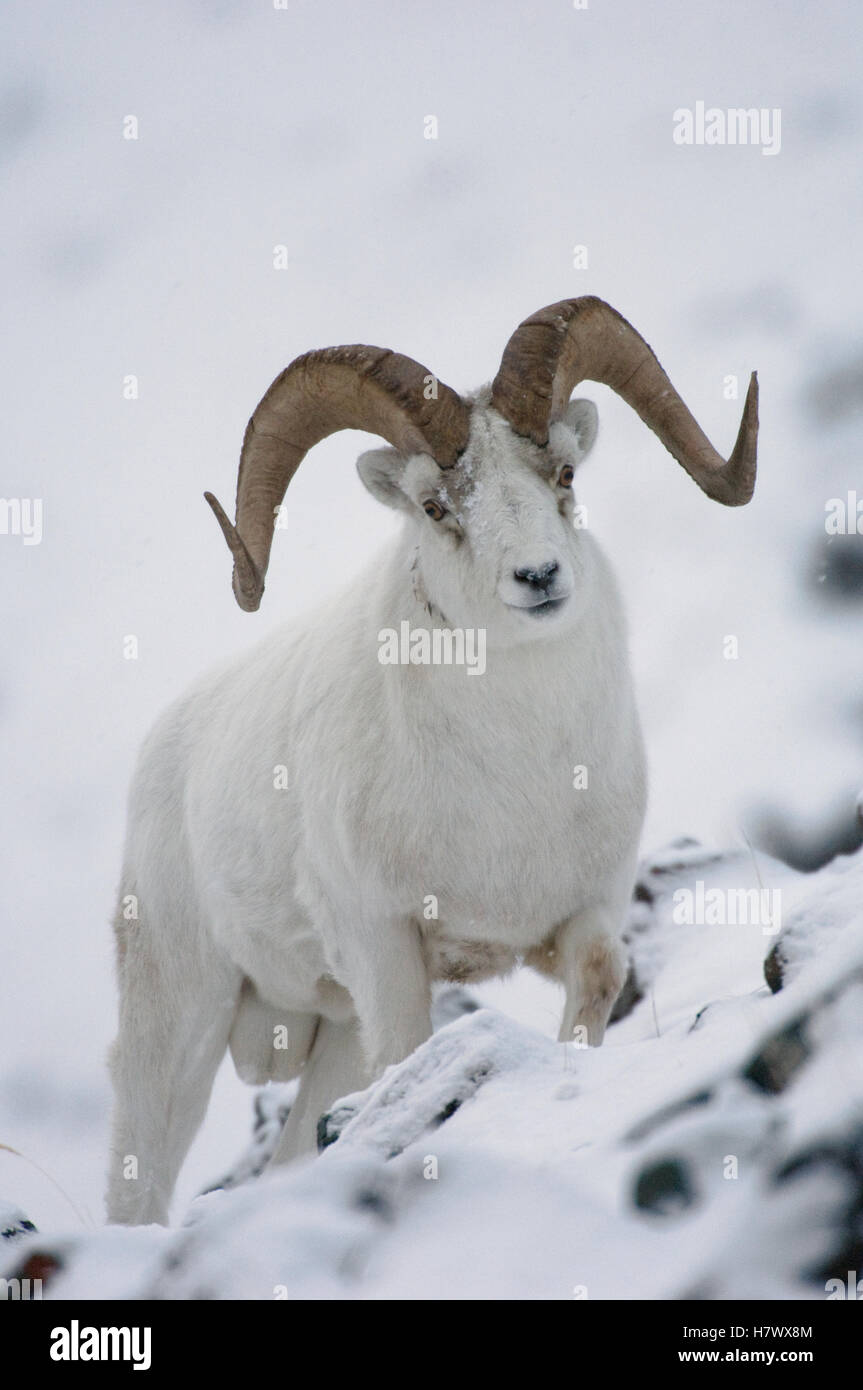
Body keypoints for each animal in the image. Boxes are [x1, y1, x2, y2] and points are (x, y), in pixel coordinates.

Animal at [106, 296, 758, 1225]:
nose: (538, 577)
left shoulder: (586, 915)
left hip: (325, 1035)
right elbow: (406, 1053)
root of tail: (166, 749)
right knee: (140, 1183)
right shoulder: (382, 948)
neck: (515, 773)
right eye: (435, 507)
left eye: (563, 473)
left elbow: (595, 987)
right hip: (177, 1022)